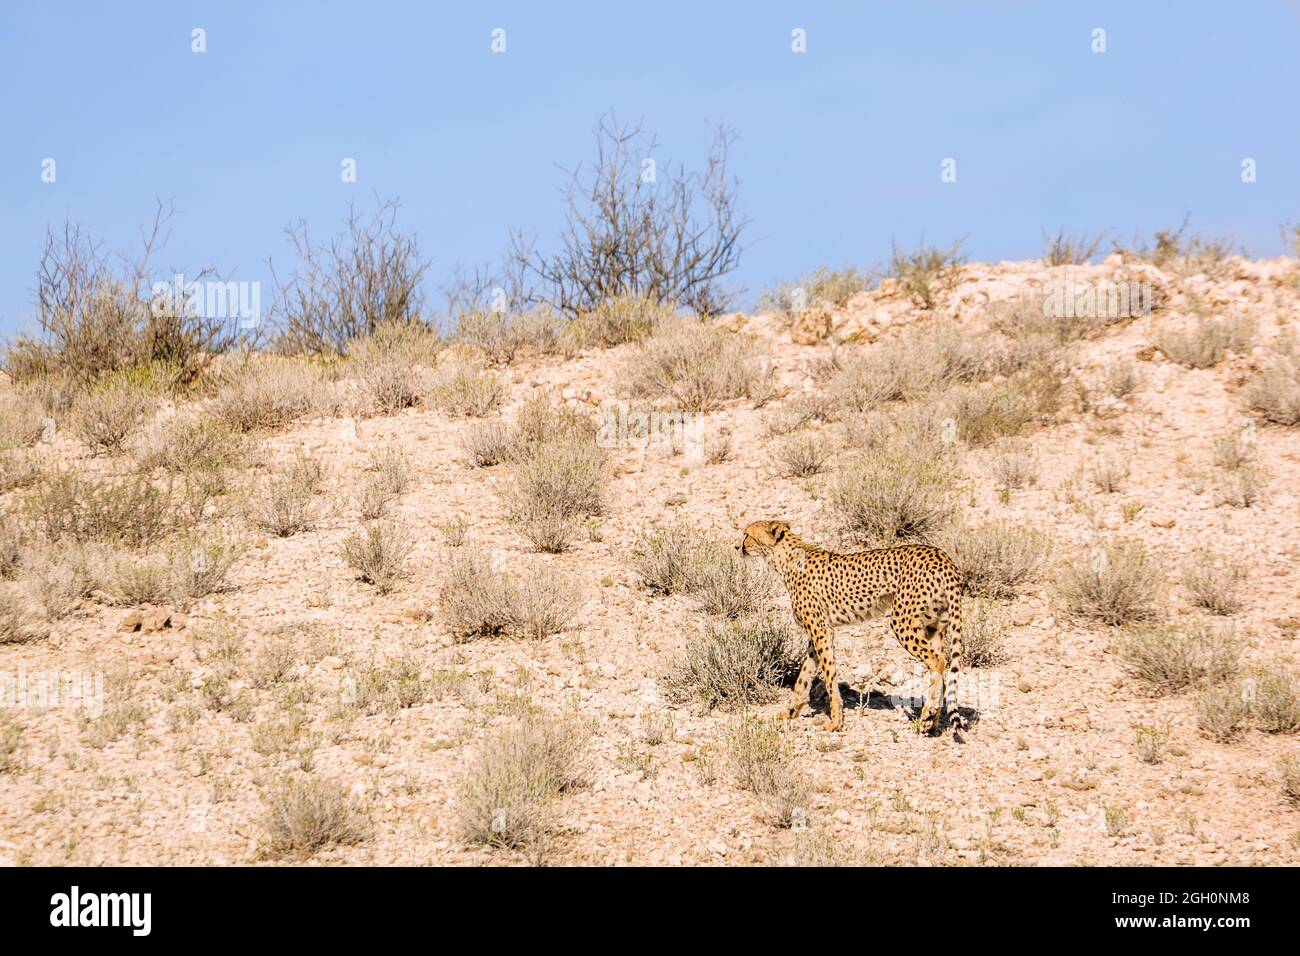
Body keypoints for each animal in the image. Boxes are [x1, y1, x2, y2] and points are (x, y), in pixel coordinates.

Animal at [736, 520, 967, 736]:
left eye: (747, 534)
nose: (737, 546)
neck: (785, 558)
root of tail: (941, 555)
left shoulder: (821, 630)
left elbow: (829, 675)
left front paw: (835, 722)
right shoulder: (816, 634)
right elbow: (804, 675)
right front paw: (791, 711)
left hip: (902, 621)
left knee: (938, 661)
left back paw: (928, 713)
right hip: (934, 626)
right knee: (942, 669)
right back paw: (931, 723)